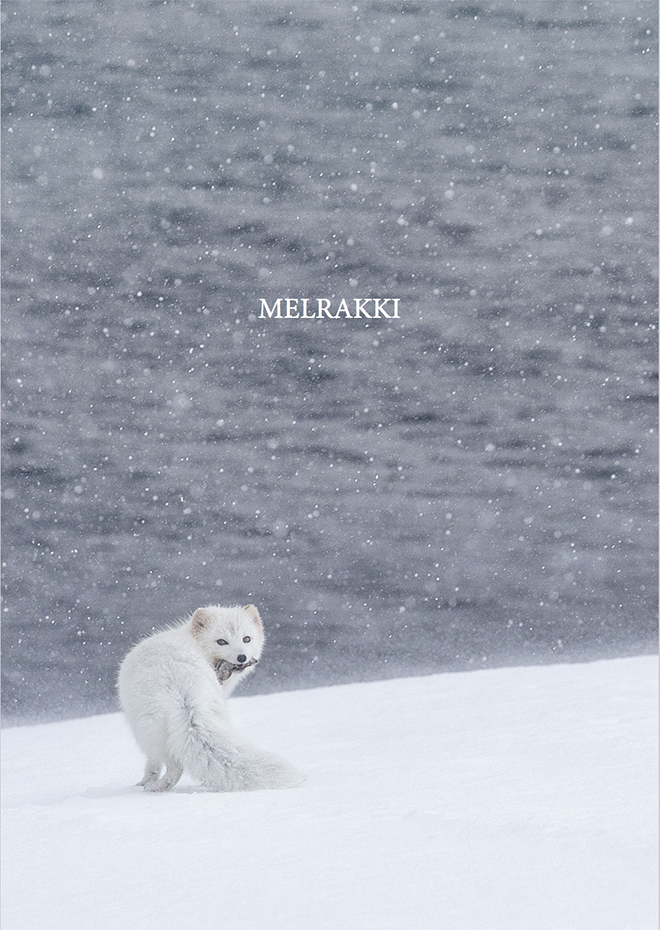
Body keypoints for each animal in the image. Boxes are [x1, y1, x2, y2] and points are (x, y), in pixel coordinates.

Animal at [117, 604, 304, 792]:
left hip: (148, 733)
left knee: (173, 766)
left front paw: (145, 782)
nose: (242, 657)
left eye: (246, 639)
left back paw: (154, 787)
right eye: (221, 641)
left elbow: (152, 765)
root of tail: (183, 690)